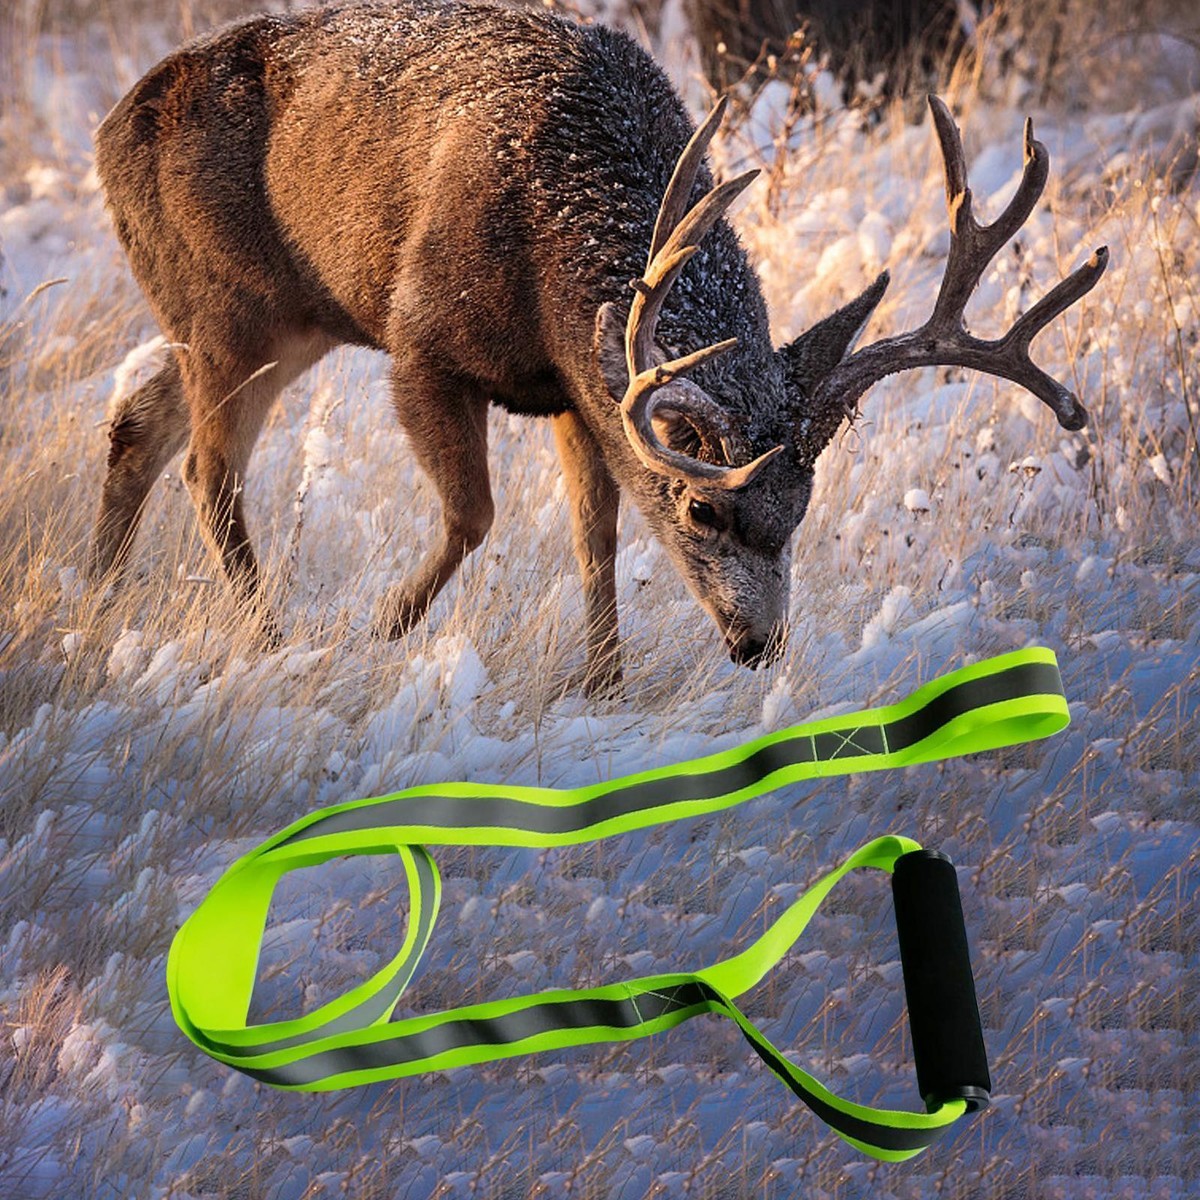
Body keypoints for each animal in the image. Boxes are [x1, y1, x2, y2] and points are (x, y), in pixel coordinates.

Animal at [88, 0, 1106, 695]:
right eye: (704, 511)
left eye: (802, 510)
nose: (757, 646)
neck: (560, 224)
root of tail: (108, 128)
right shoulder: (421, 341)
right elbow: (475, 514)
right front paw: (385, 626)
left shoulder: (577, 386)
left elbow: (596, 534)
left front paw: (603, 682)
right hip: (230, 307)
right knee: (208, 468)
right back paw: (267, 640)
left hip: (276, 321)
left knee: (138, 420)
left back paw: (97, 606)